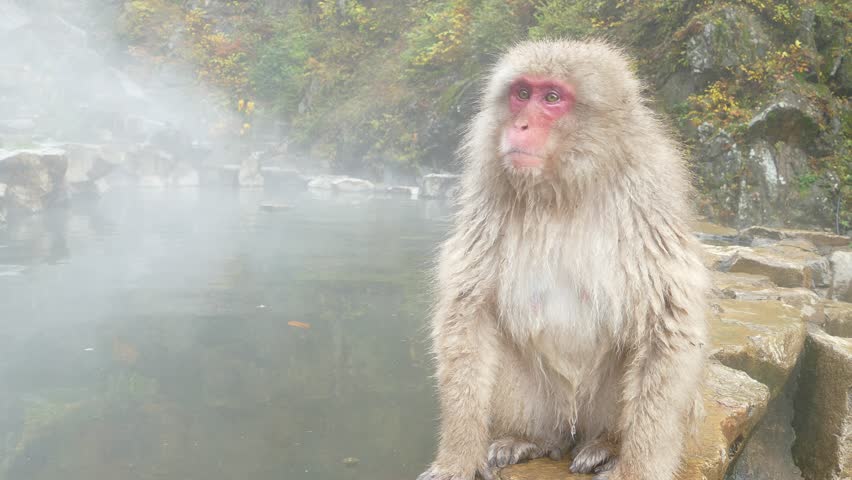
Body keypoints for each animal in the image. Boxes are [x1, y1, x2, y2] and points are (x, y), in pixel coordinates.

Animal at [417, 39, 709, 480]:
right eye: (522, 93)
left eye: (552, 98)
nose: (519, 126)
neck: (562, 191)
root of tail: (571, 429)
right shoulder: (487, 197)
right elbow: (468, 312)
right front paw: (458, 457)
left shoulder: (646, 201)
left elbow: (667, 321)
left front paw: (637, 467)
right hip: (548, 406)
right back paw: (528, 439)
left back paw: (607, 444)